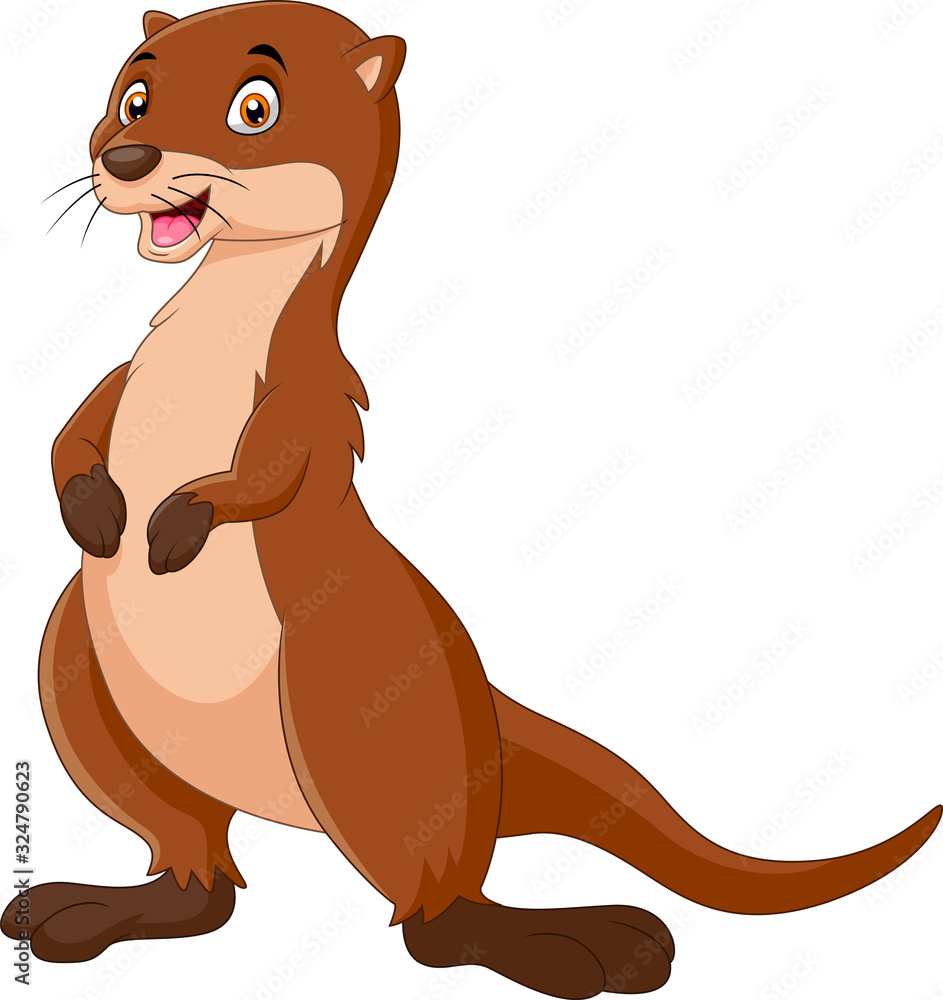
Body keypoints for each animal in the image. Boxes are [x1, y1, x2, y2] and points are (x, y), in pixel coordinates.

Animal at [3, 4, 939, 996]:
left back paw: (583, 943)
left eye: (254, 108)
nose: (128, 157)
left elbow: (272, 475)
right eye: (133, 95)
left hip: (356, 690)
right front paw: (91, 508)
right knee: (201, 873)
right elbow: (69, 432)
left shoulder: (307, 403)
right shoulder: (122, 381)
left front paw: (183, 522)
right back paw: (82, 911)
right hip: (77, 671)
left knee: (433, 911)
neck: (209, 351)